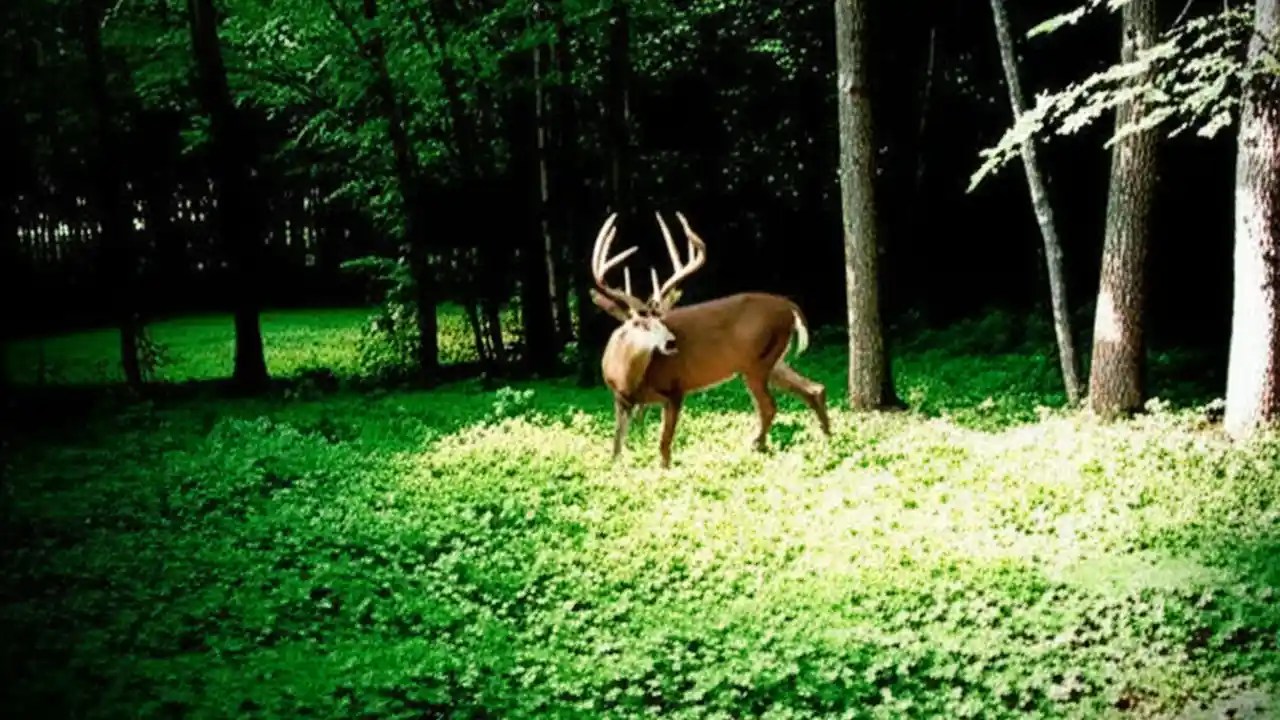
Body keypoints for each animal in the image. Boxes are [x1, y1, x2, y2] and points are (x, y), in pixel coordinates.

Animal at [589, 210, 832, 468]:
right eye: (638, 323)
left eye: (662, 319)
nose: (671, 342)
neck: (628, 377)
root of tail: (789, 306)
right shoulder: (620, 400)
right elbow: (616, 448)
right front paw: (615, 469)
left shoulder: (675, 390)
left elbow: (664, 446)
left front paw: (664, 471)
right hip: (773, 360)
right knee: (814, 389)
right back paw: (827, 439)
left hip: (755, 362)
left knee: (769, 406)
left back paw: (757, 447)